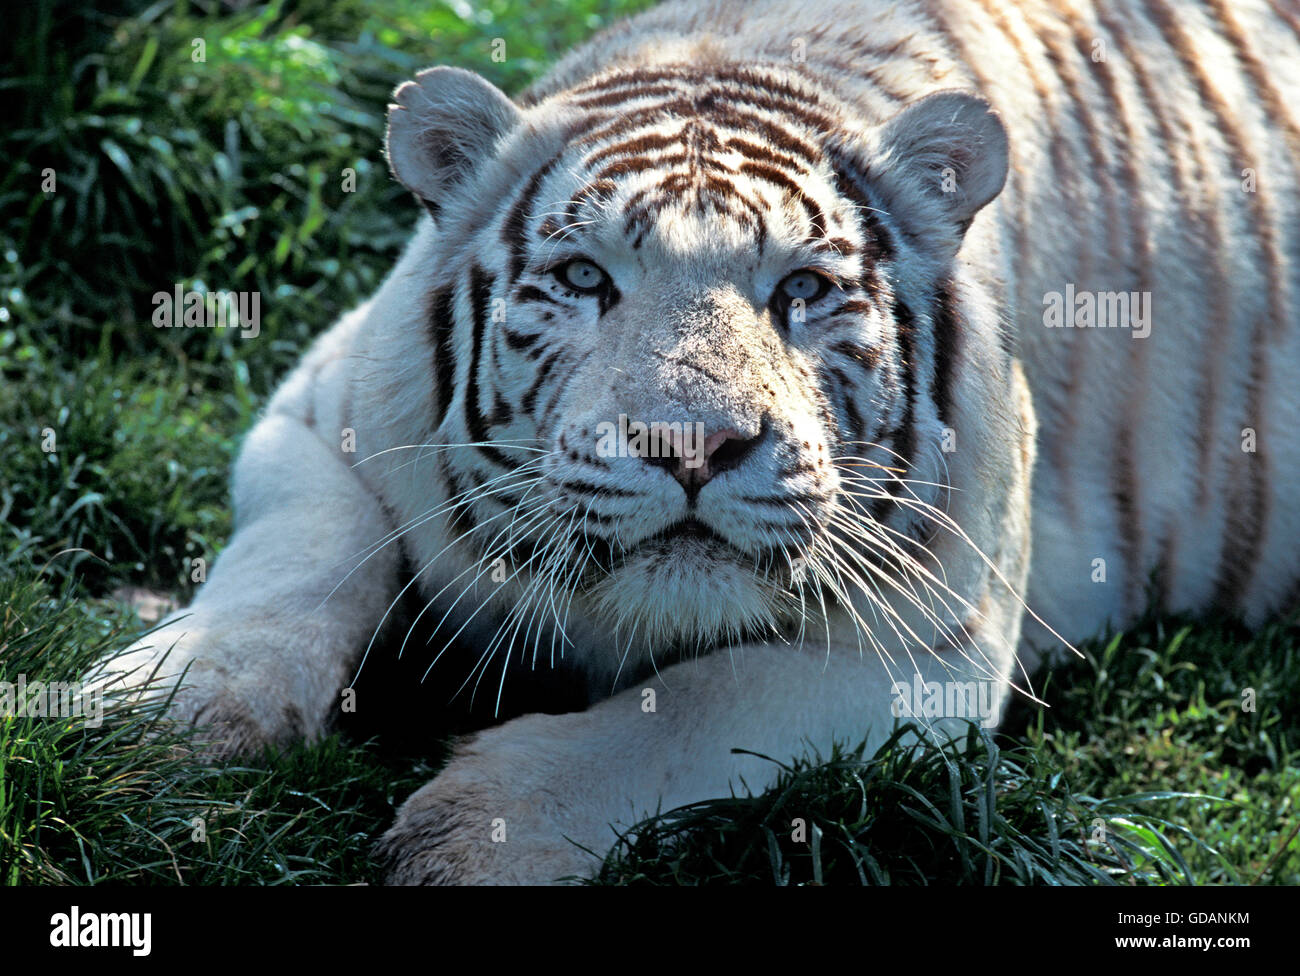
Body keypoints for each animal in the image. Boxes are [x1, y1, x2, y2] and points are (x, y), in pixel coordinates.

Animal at [98, 0, 1300, 884]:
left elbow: (696, 705)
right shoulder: (314, 408)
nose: (691, 445)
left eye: (802, 291)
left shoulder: (937, 648)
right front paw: (158, 712)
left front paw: (469, 833)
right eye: (585, 277)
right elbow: (299, 557)